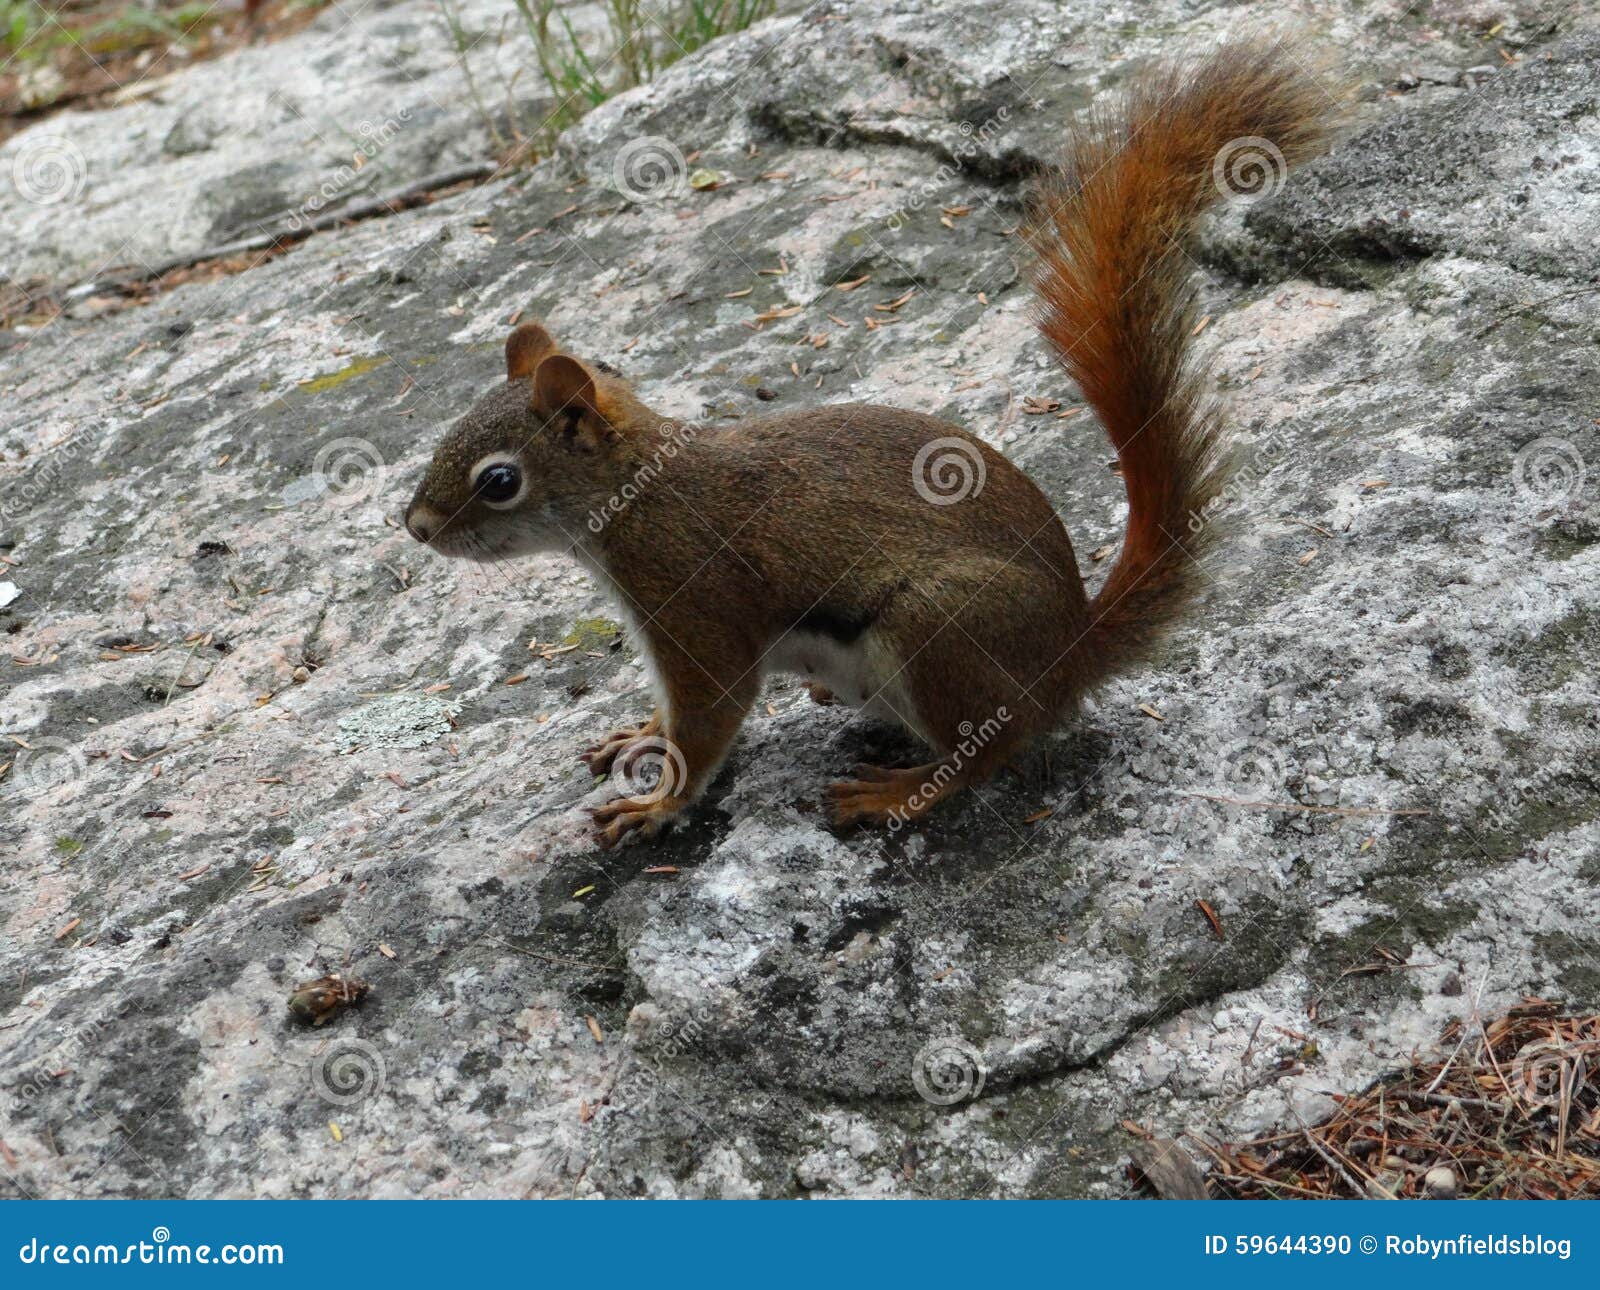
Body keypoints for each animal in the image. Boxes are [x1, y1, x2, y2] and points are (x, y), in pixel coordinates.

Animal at [404, 42, 1335, 847]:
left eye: (498, 480)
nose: (414, 527)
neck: (632, 494)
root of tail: (1070, 657)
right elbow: (669, 715)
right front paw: (637, 732)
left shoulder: (696, 607)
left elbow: (706, 720)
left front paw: (660, 803)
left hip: (937, 632)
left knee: (990, 750)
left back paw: (896, 794)